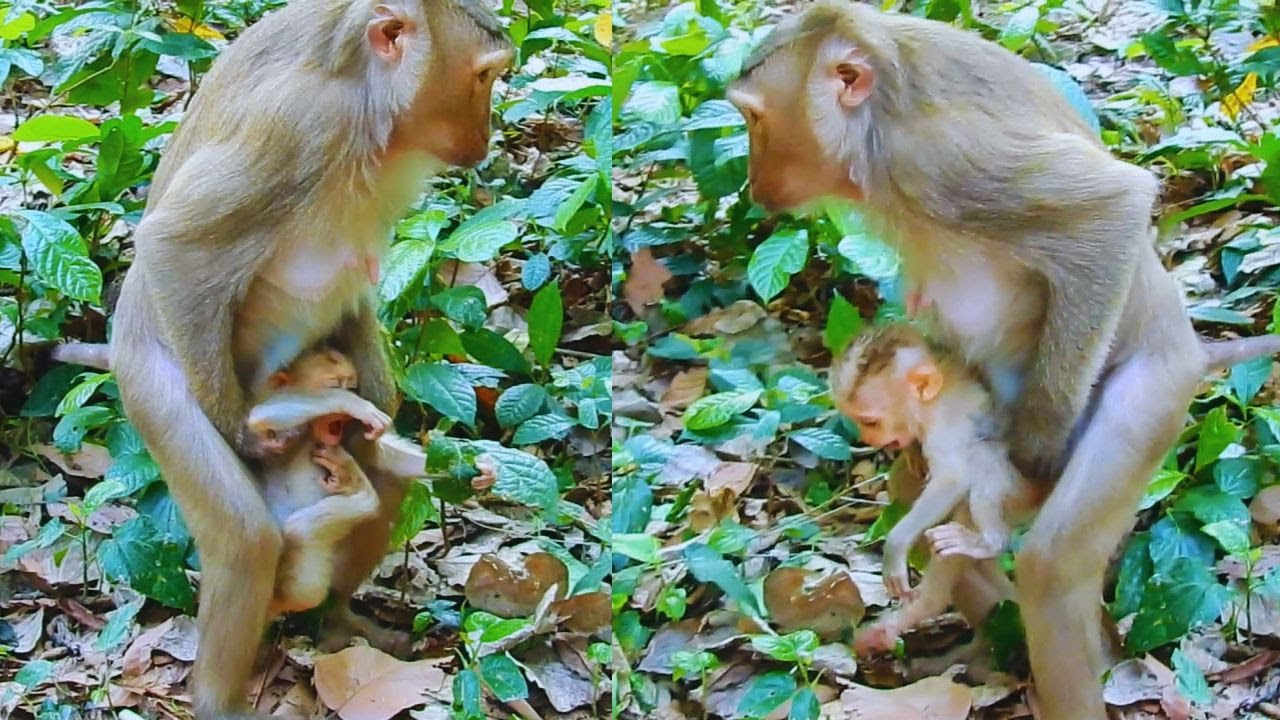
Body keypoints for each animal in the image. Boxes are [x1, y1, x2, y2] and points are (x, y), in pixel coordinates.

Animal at [97, 0, 512, 715]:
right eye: (483, 77)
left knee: (382, 475)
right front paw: (244, 435)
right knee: (246, 540)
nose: (486, 132)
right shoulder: (301, 122)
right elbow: (177, 246)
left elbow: (356, 290)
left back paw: (338, 618)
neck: (365, 96)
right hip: (154, 392)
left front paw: (383, 398)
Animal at [727, 4, 1280, 716]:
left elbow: (1112, 208)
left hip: (1152, 393)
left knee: (1050, 563)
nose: (751, 178)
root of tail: (1191, 346)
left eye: (753, 119)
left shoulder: (941, 156)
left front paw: (1035, 448)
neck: (878, 124)